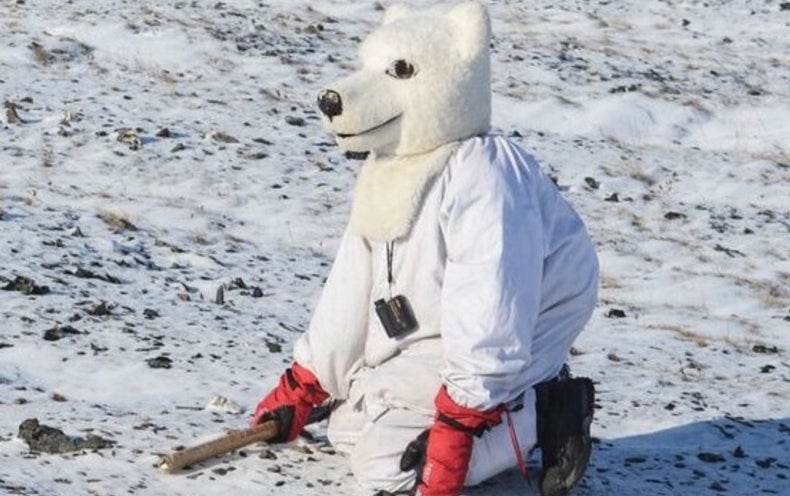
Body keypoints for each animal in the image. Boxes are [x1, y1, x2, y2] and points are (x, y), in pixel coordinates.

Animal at [250, 2, 599, 496]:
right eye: (362, 61)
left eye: (402, 68)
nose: (330, 100)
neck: (428, 156)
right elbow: (343, 307)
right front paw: (289, 401)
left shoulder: (490, 188)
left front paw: (441, 460)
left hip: (469, 363)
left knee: (404, 436)